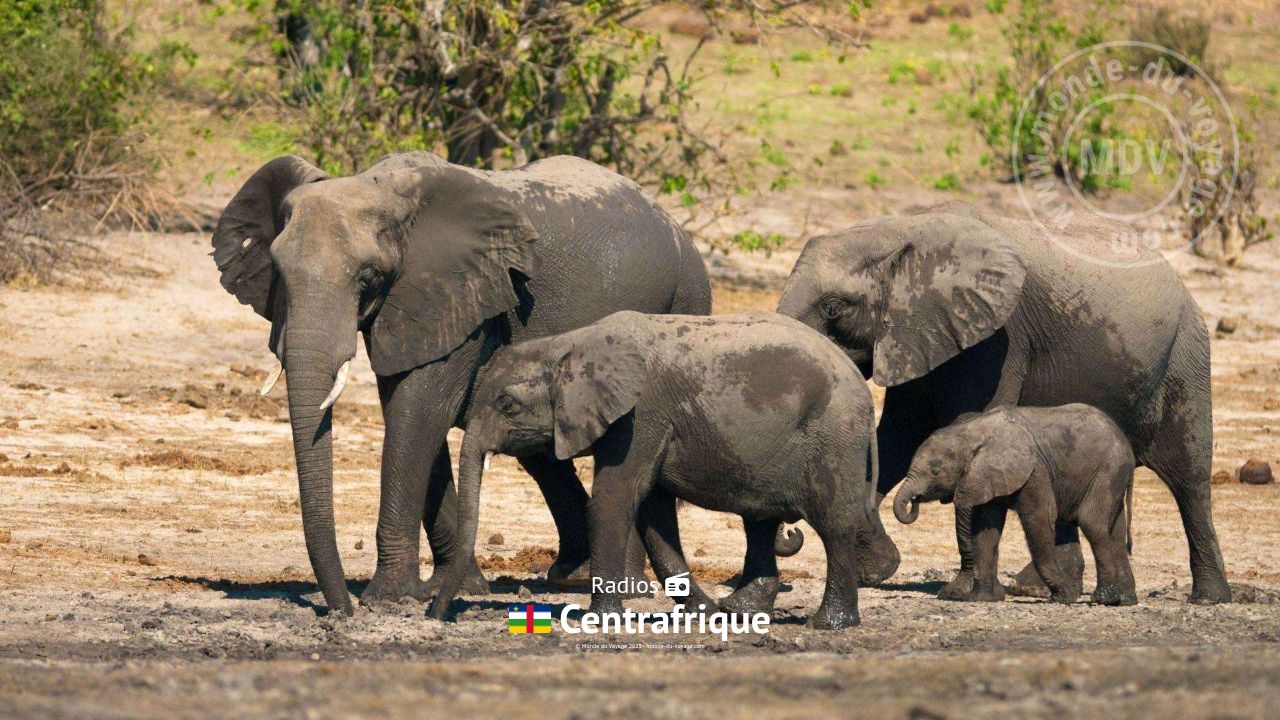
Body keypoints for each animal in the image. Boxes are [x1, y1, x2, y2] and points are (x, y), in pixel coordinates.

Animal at [209, 149, 711, 609]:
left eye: (367, 277)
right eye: (278, 273)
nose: (341, 610)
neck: (382, 189)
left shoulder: (463, 297)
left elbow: (417, 413)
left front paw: (387, 599)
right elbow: (408, 413)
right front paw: (459, 587)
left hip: (684, 297)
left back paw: (627, 587)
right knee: (543, 455)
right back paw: (572, 577)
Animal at [424, 311, 885, 625]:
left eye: (507, 405)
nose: (437, 613)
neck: (568, 345)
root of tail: (861, 387)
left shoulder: (639, 415)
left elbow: (614, 499)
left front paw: (602, 620)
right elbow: (654, 513)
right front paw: (703, 614)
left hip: (833, 436)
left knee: (833, 525)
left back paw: (830, 624)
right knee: (761, 521)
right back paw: (738, 611)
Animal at [890, 404, 1141, 604]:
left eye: (935, 471)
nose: (915, 500)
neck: (973, 433)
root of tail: (1128, 447)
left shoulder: (1035, 471)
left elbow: (1038, 520)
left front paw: (1063, 597)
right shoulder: (984, 475)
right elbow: (985, 529)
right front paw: (982, 599)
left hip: (1107, 470)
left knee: (1092, 523)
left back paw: (1103, 599)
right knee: (1116, 533)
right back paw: (1125, 600)